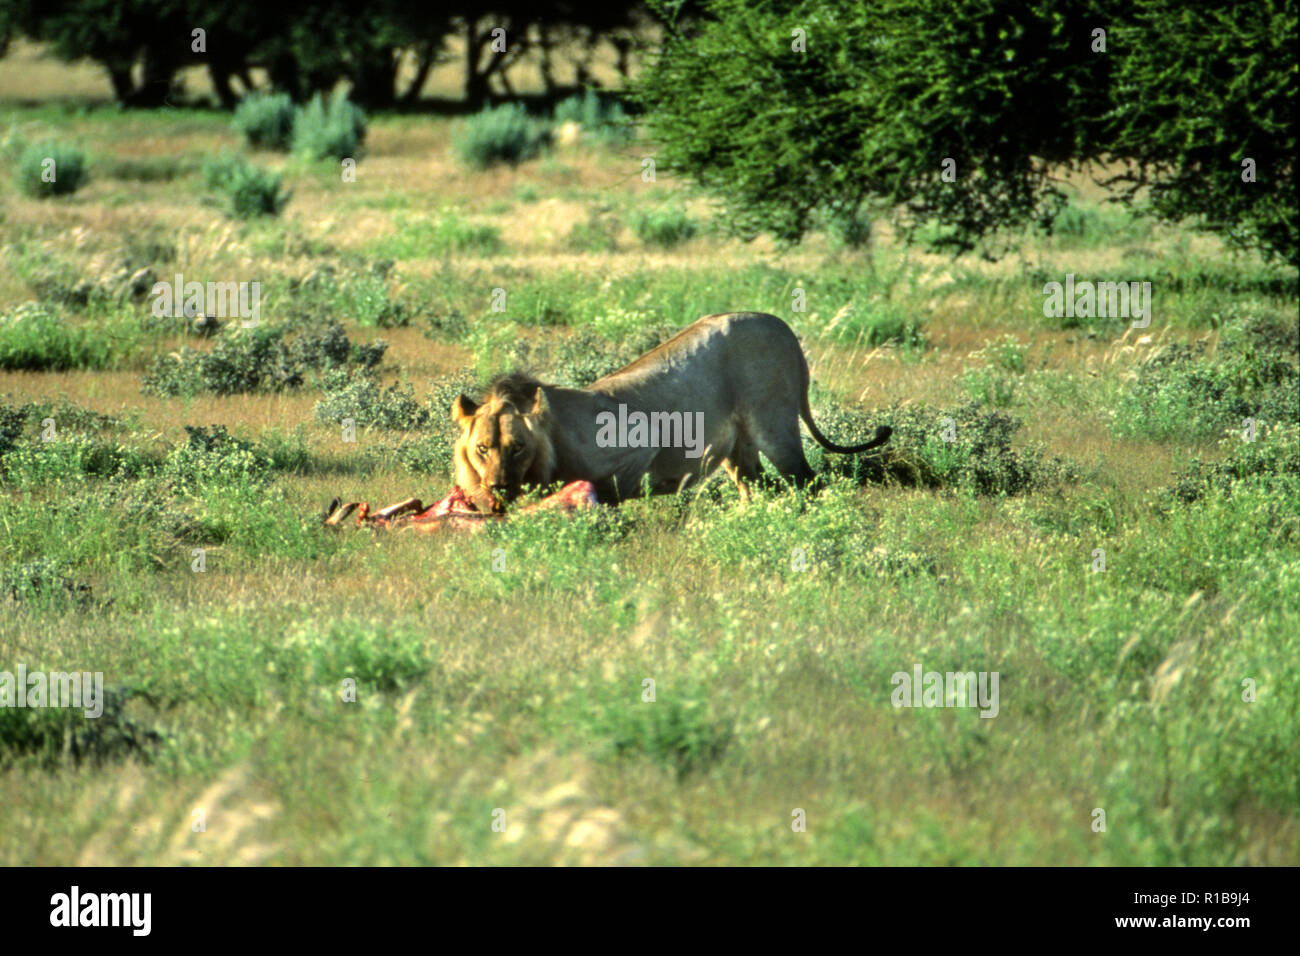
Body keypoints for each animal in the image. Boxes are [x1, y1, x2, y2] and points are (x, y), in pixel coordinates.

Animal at [452, 311, 891, 509]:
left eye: (518, 447)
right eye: (482, 449)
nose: (497, 486)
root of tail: (783, 326)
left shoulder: (636, 446)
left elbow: (608, 497)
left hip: (775, 425)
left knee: (807, 482)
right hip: (738, 449)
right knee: (755, 485)